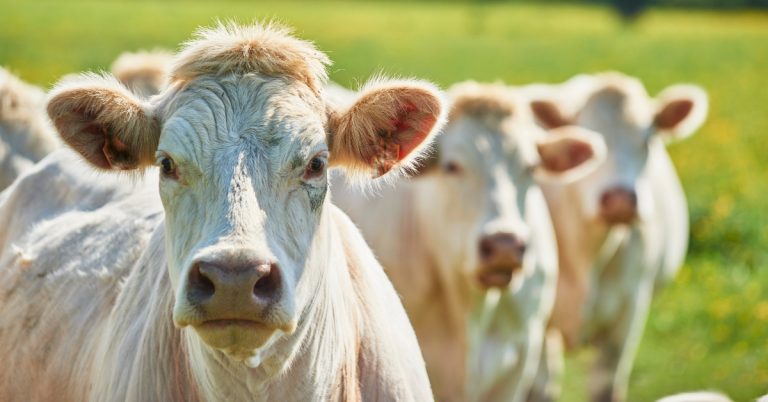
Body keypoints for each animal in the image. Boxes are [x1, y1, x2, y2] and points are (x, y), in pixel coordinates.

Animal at [525, 72, 708, 402]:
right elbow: (540, 387)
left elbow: (605, 385)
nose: (620, 199)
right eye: (588, 140)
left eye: (648, 140)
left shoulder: (630, 310)